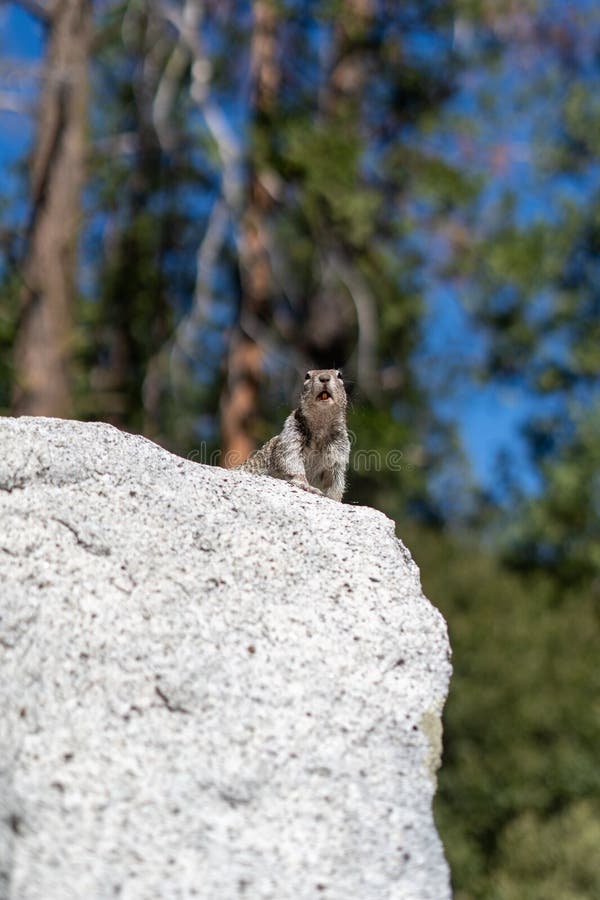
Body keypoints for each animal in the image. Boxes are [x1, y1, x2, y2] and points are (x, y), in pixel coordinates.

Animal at [235, 369, 350, 501]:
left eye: (340, 375)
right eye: (307, 376)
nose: (324, 377)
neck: (321, 424)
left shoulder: (339, 450)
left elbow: (335, 478)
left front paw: (335, 498)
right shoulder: (291, 436)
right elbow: (291, 460)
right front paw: (306, 485)